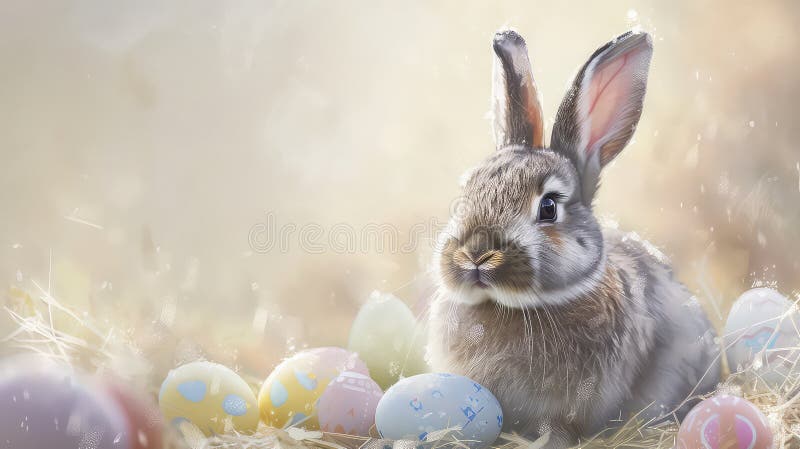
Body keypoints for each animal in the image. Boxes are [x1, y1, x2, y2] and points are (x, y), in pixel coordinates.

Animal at [427, 29, 720, 448]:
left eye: (548, 207)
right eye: (466, 191)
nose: (476, 254)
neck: (514, 307)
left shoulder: (568, 414)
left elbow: (556, 433)